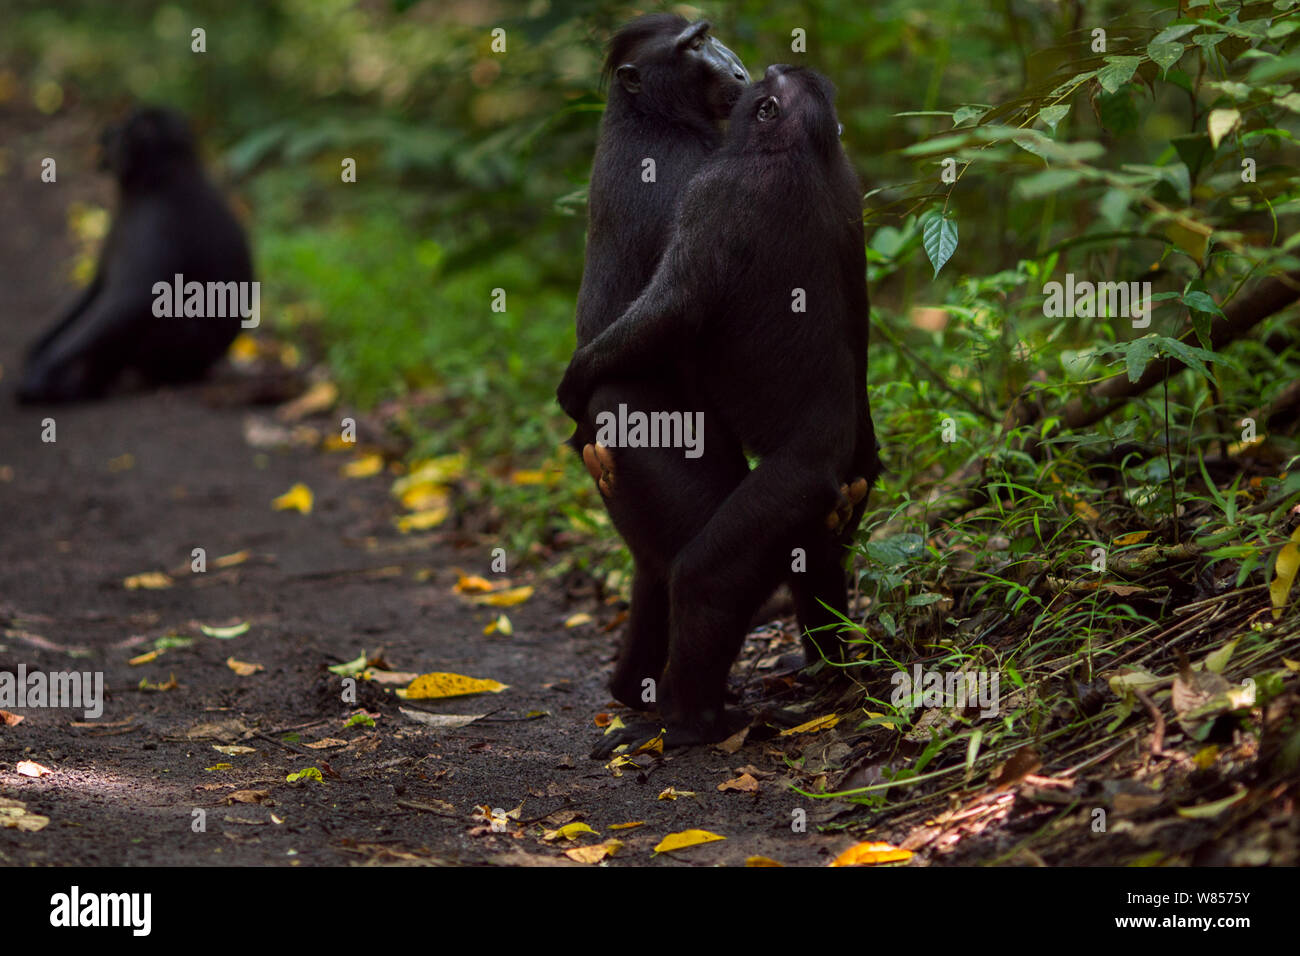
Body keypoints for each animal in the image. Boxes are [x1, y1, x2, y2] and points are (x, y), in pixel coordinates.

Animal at [17, 106, 254, 403]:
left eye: (123, 129)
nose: (107, 130)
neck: (155, 182)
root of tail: (204, 369)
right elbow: (96, 288)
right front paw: (37, 353)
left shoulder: (158, 221)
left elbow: (137, 297)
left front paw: (47, 368)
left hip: (177, 353)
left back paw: (80, 385)